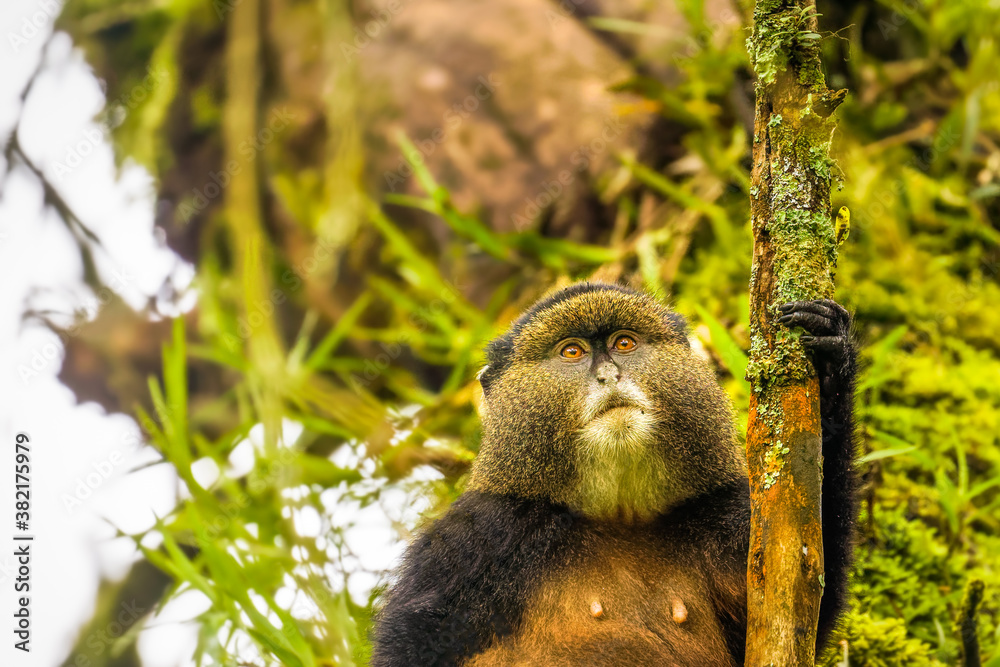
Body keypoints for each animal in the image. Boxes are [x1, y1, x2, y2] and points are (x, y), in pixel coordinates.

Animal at [371, 281, 856, 666]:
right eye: (572, 351)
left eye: (624, 343)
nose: (608, 374)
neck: (618, 515)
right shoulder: (474, 540)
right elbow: (411, 646)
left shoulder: (720, 515)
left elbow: (797, 613)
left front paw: (831, 363)